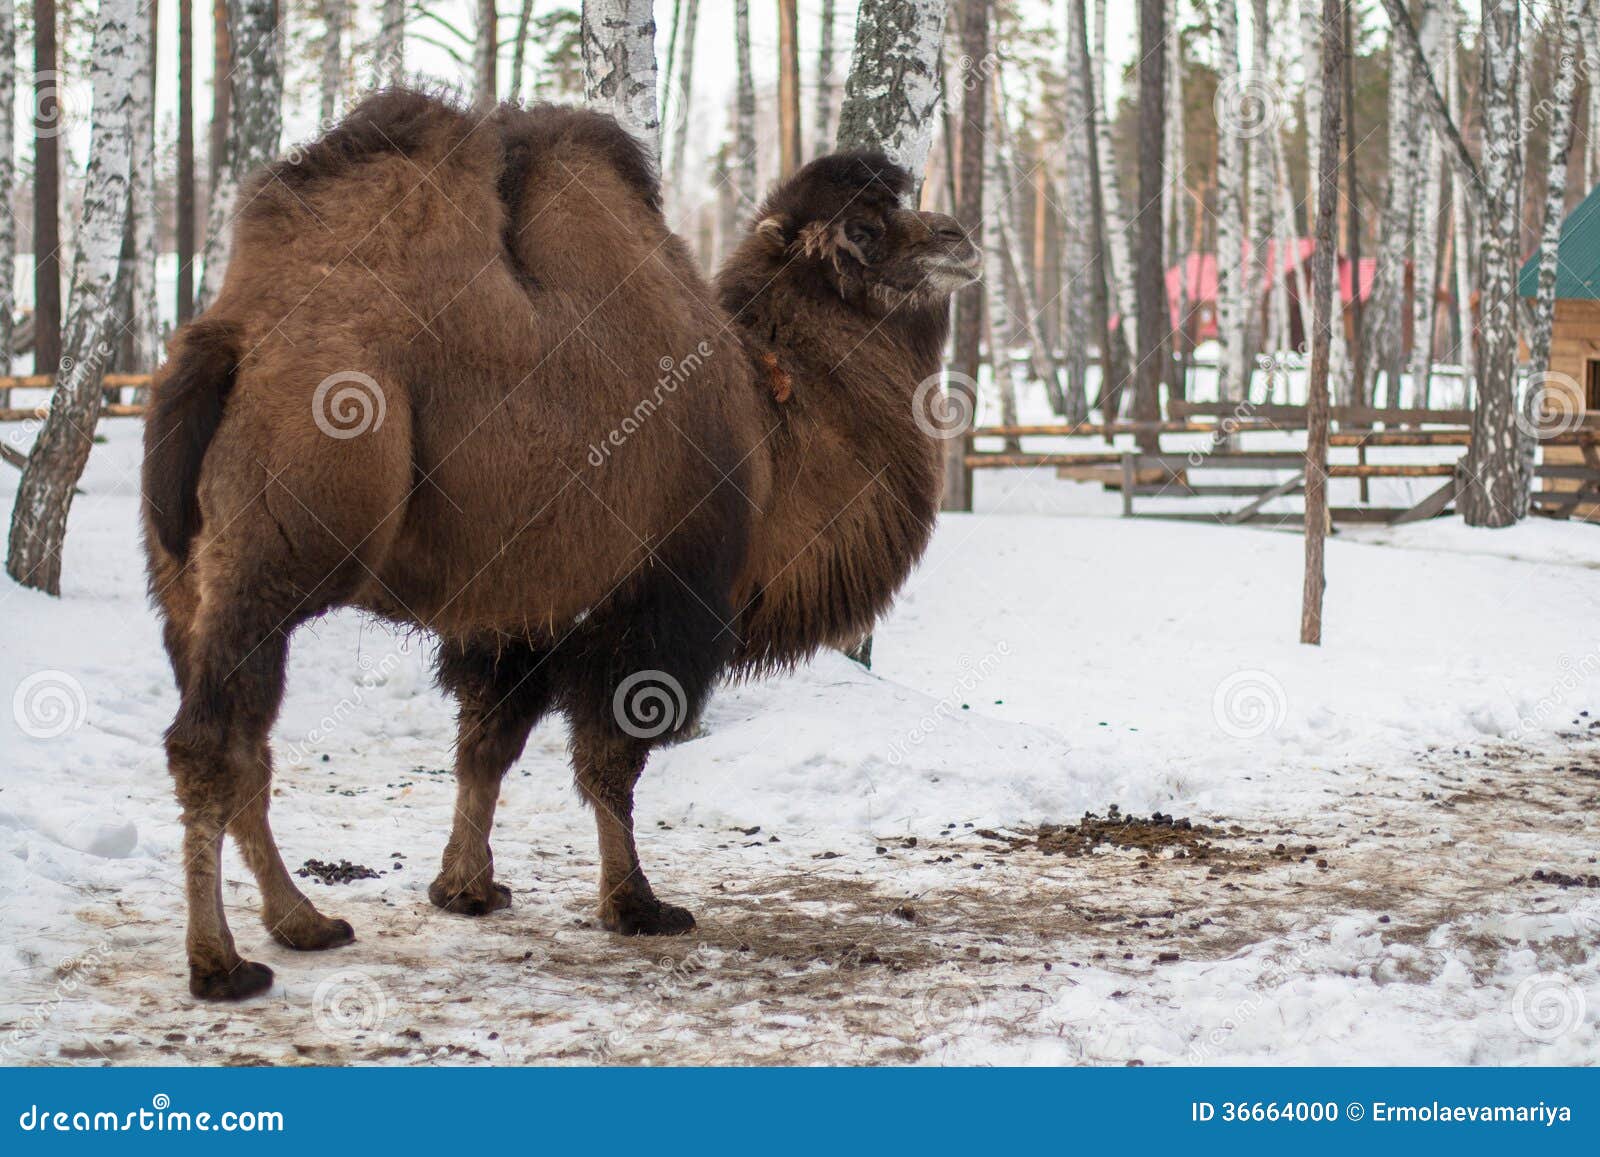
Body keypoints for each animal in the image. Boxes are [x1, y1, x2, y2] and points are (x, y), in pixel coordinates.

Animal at [141, 90, 980, 999]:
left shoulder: (519, 610)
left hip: (188, 588)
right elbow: (609, 762)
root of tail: (230, 340)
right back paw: (221, 962)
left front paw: (465, 886)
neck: (768, 422)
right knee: (211, 745)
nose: (958, 238)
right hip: (276, 561)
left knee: (246, 743)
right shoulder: (660, 601)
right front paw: (637, 903)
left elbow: (486, 744)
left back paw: (304, 922)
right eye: (863, 227)